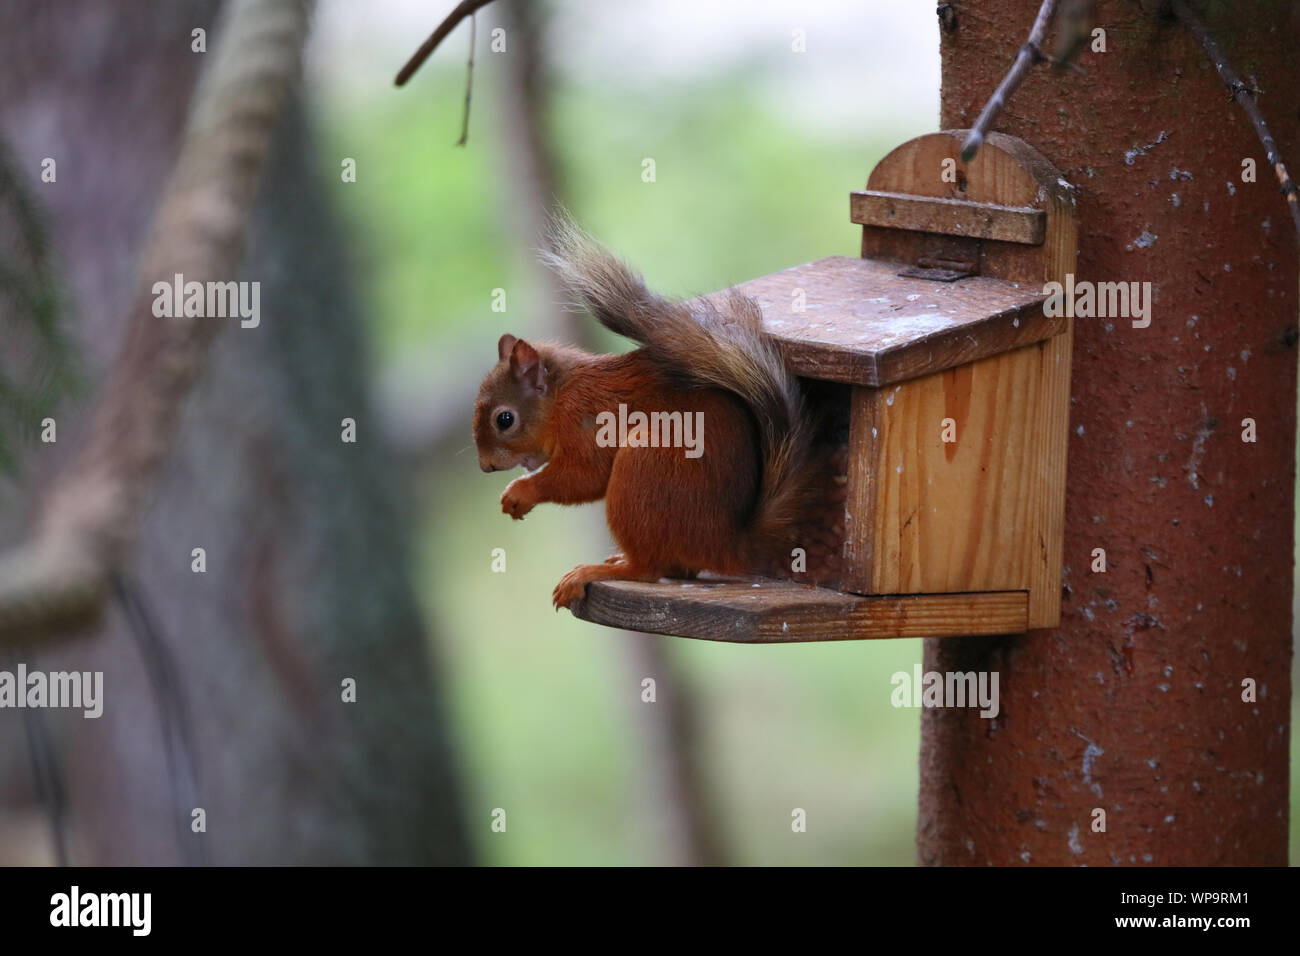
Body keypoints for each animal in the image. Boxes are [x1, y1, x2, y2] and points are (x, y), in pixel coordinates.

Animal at [473, 217, 816, 610]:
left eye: (504, 419)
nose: (485, 466)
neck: (561, 398)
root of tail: (730, 544)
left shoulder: (587, 424)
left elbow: (582, 476)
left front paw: (521, 491)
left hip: (645, 465)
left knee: (648, 569)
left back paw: (599, 570)